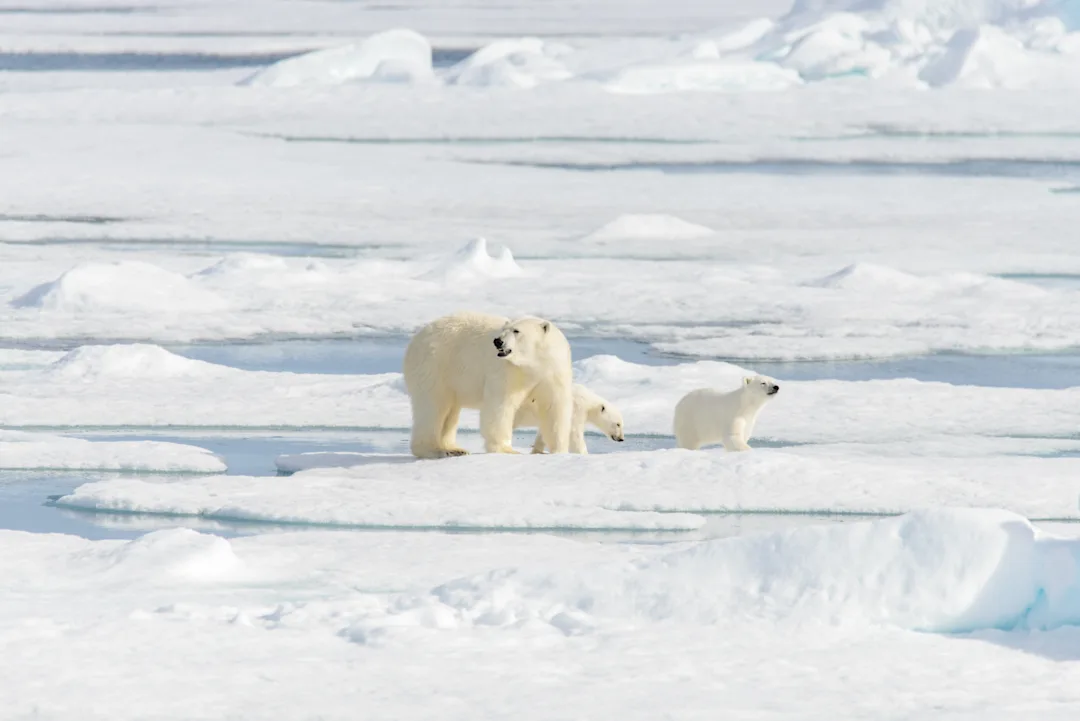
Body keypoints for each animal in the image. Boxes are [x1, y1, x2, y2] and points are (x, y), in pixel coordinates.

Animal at [402, 311, 574, 459]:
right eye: (504, 329)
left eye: (516, 331)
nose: (498, 341)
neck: (532, 366)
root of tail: (416, 339)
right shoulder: (508, 372)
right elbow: (500, 406)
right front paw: (507, 450)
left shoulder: (552, 373)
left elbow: (554, 409)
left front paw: (560, 451)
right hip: (435, 365)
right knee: (433, 407)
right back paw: (434, 450)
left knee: (449, 413)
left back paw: (454, 449)